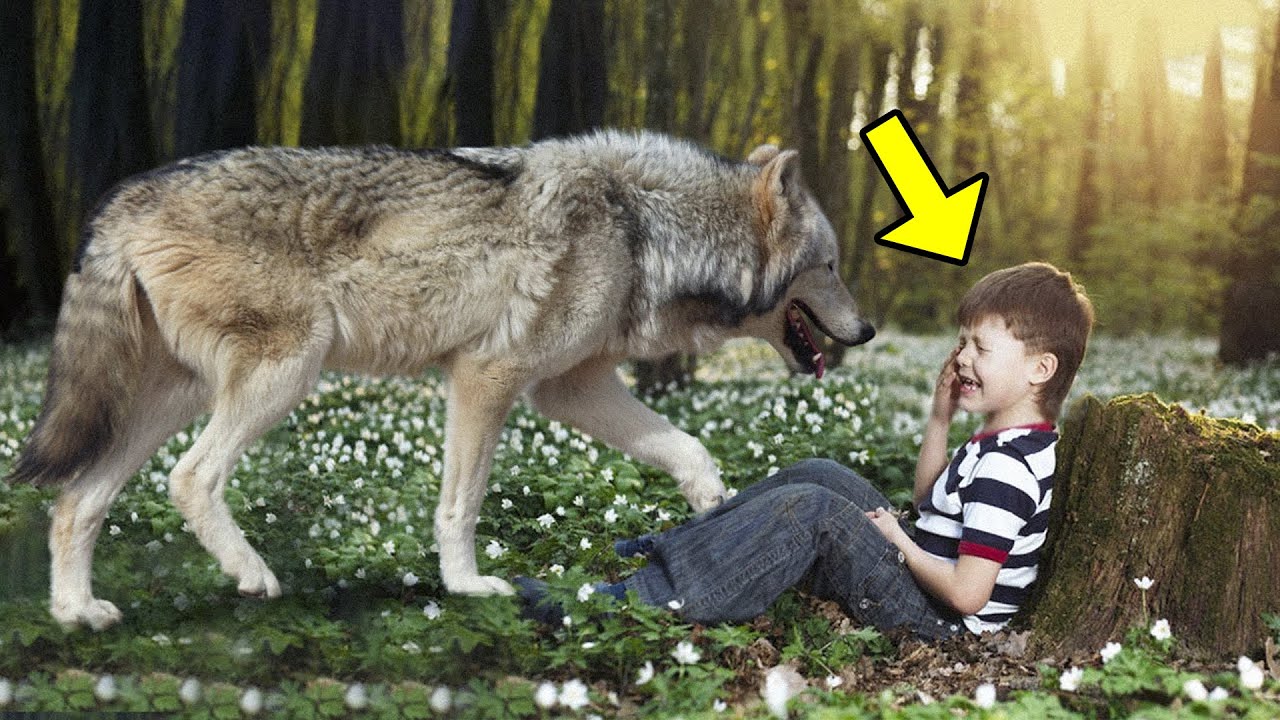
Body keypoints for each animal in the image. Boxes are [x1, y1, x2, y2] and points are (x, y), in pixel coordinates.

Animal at [5, 130, 875, 630]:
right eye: (831, 267)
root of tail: (124, 197)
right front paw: (467, 586)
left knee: (76, 501)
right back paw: (251, 575)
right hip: (285, 373)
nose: (867, 331)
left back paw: (77, 612)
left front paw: (714, 509)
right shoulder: (488, 377)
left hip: (174, 399)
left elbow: (688, 449)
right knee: (189, 478)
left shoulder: (571, 388)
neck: (645, 226)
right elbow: (462, 504)